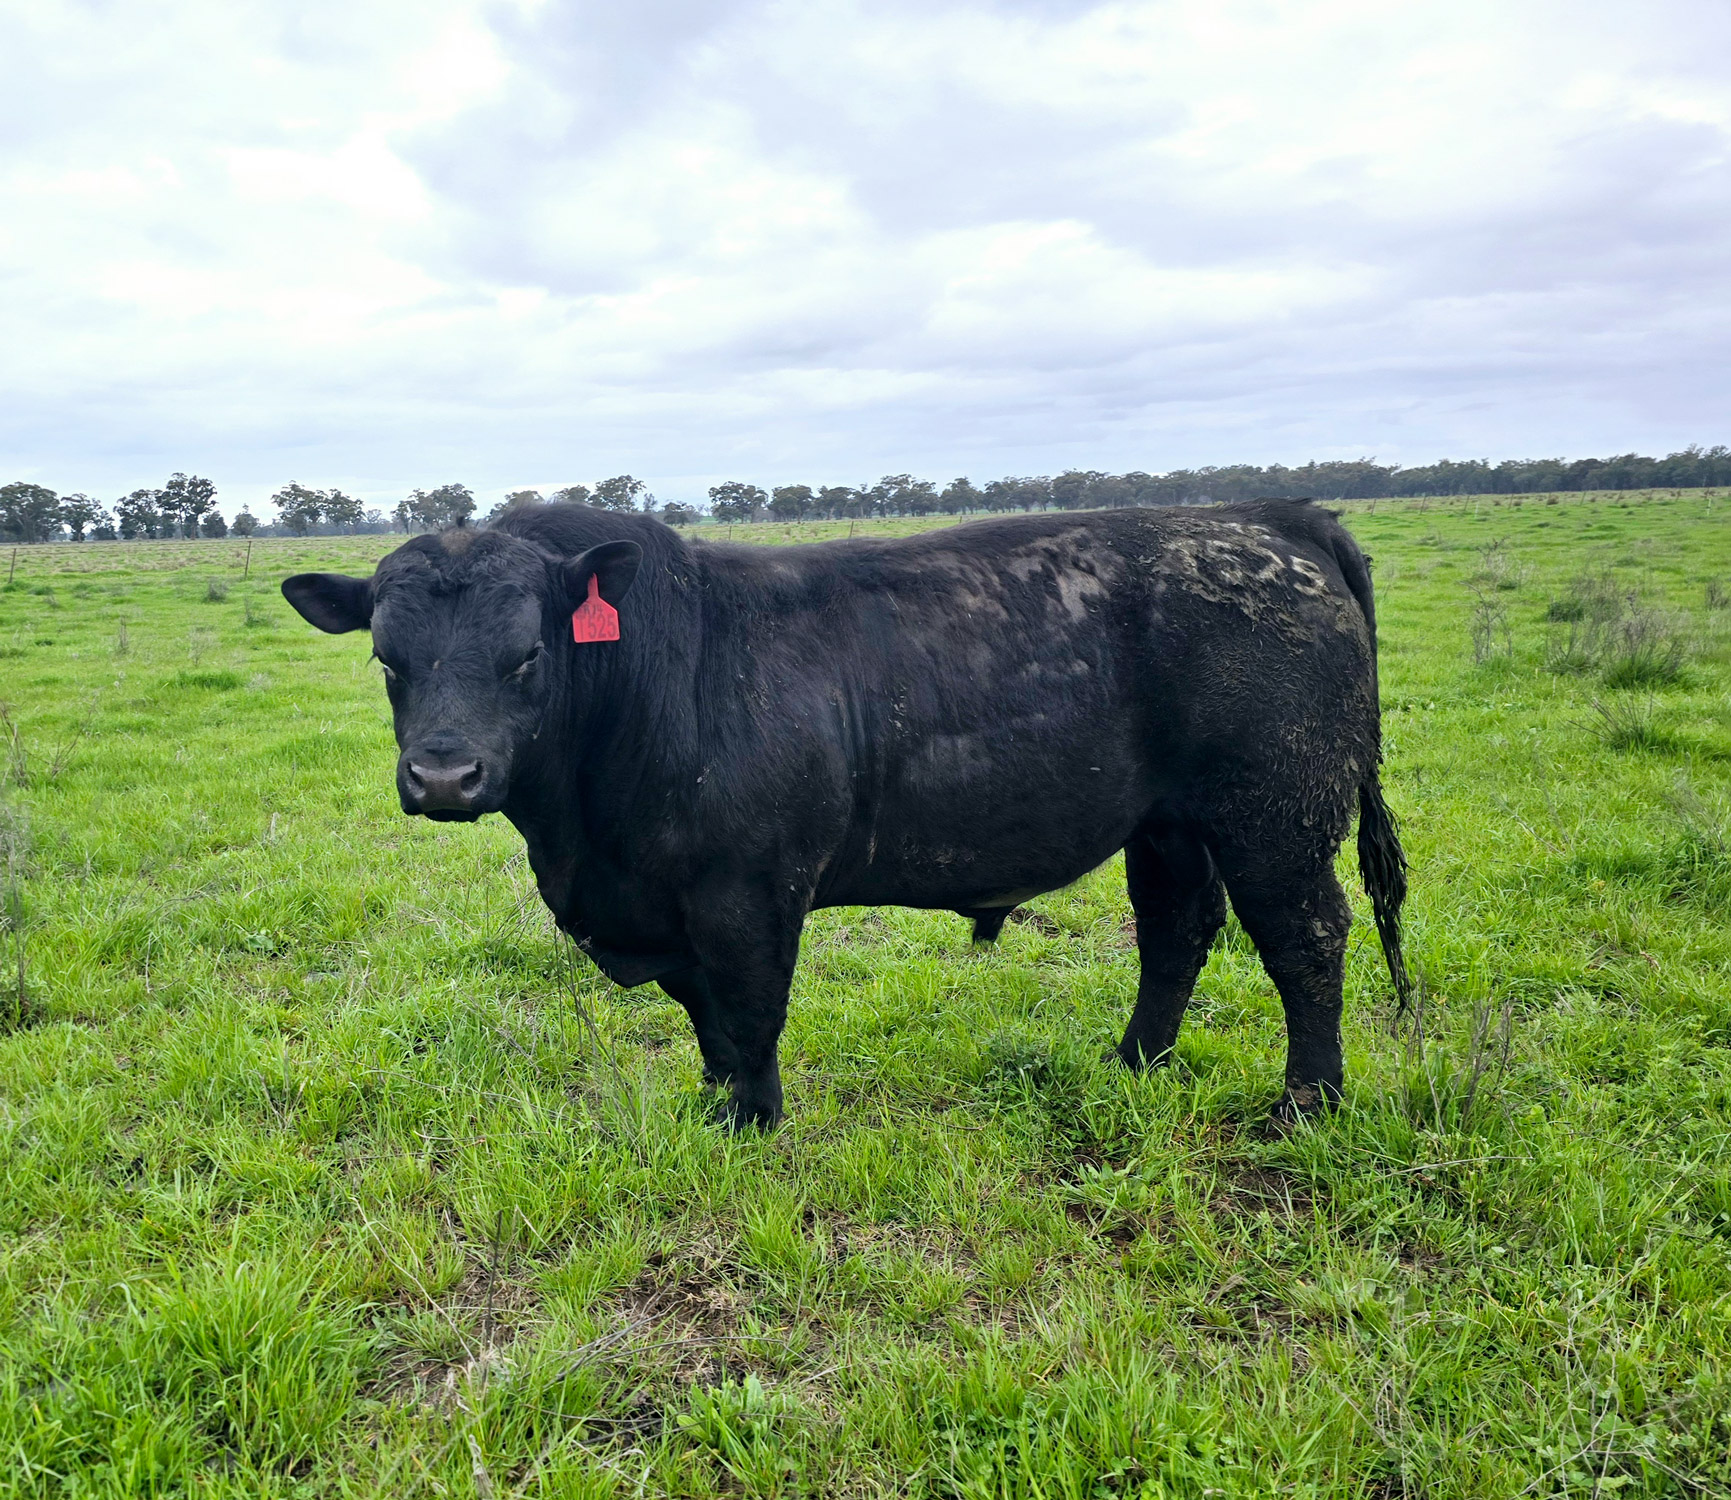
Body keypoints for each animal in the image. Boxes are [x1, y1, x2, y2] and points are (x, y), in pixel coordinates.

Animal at [283, 500, 1409, 1131]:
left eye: (526, 655)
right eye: (387, 659)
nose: (444, 777)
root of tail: (1264, 516)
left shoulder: (746, 892)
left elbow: (748, 1013)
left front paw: (750, 1124)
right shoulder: (672, 905)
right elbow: (705, 1022)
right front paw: (712, 1109)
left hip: (1274, 814)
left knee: (1307, 941)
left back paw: (1304, 1106)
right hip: (1169, 824)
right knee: (1177, 933)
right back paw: (1134, 1063)